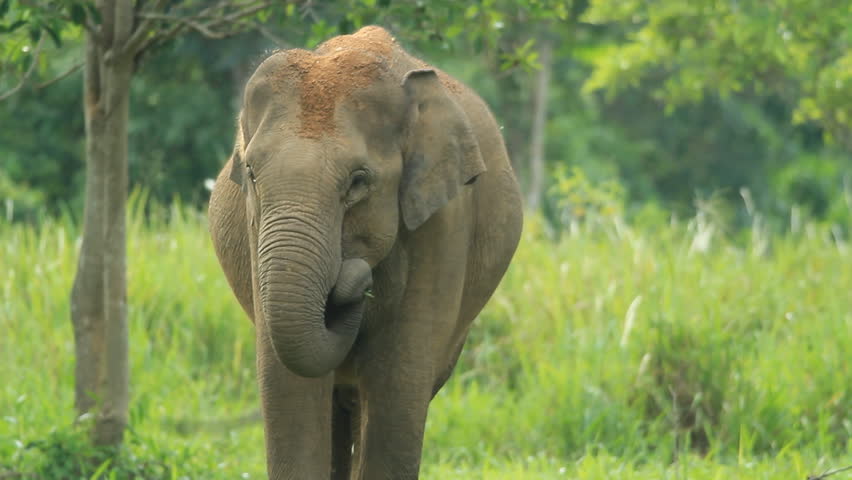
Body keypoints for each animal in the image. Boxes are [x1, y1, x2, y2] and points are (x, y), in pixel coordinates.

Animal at [208, 25, 523, 479]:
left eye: (358, 181)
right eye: (250, 172)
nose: (357, 279)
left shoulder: (442, 225)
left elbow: (399, 382)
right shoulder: (256, 229)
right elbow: (288, 384)